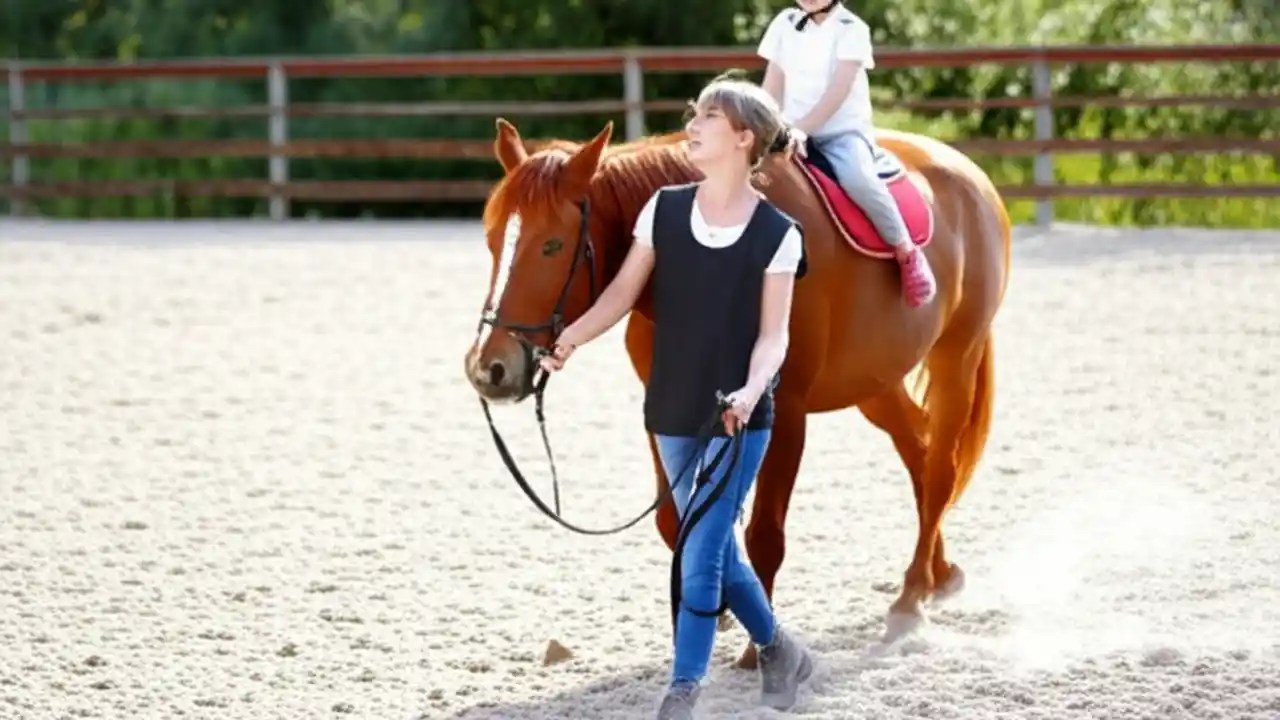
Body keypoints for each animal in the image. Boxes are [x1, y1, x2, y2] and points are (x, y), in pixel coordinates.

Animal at [463, 115, 1011, 667]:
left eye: (552, 246)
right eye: (491, 241)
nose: (489, 368)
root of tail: (972, 177)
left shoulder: (783, 415)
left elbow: (763, 533)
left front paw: (757, 643)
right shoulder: (666, 412)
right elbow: (681, 522)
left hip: (955, 359)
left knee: (939, 470)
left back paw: (912, 596)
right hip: (875, 383)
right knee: (919, 451)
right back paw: (940, 576)